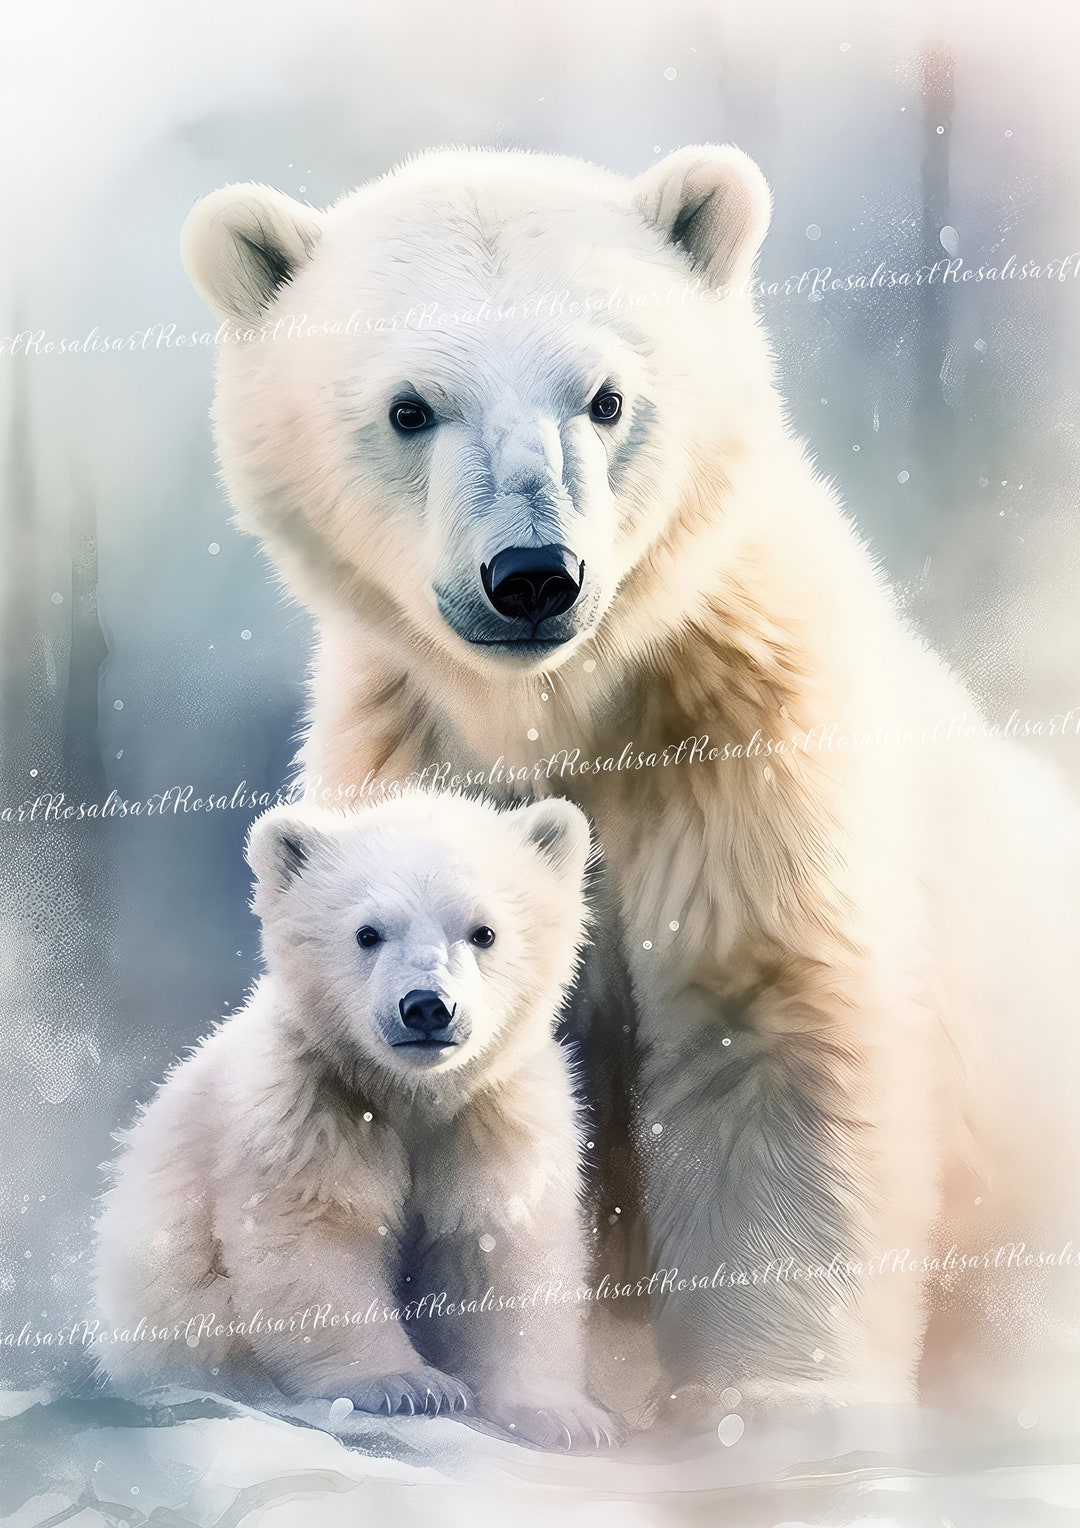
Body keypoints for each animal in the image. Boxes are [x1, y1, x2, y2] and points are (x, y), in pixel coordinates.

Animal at [93, 789, 618, 1450]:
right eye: (368, 933)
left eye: (484, 932)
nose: (427, 1007)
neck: (412, 1095)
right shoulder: (309, 1109)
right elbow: (319, 1237)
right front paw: (408, 1385)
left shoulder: (494, 1118)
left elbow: (503, 1245)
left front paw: (566, 1416)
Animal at [180, 146, 1080, 1420]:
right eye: (410, 407)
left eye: (605, 398)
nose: (531, 574)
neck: (560, 714)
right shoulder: (407, 760)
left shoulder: (740, 758)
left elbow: (765, 1041)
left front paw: (769, 1402)